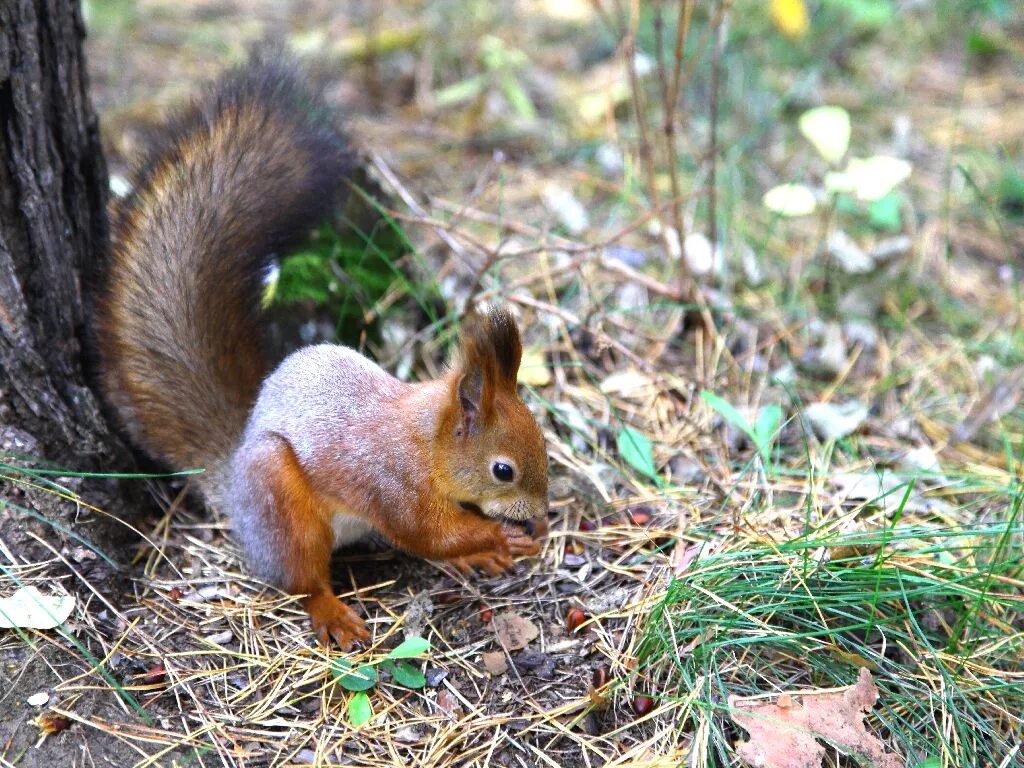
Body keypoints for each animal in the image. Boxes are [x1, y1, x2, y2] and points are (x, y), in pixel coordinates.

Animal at [94, 52, 552, 651]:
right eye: (503, 470)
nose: (542, 517)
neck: (424, 443)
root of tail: (234, 484)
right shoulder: (392, 484)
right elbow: (429, 534)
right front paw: (497, 538)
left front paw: (499, 544)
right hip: (283, 504)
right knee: (302, 579)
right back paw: (332, 613)